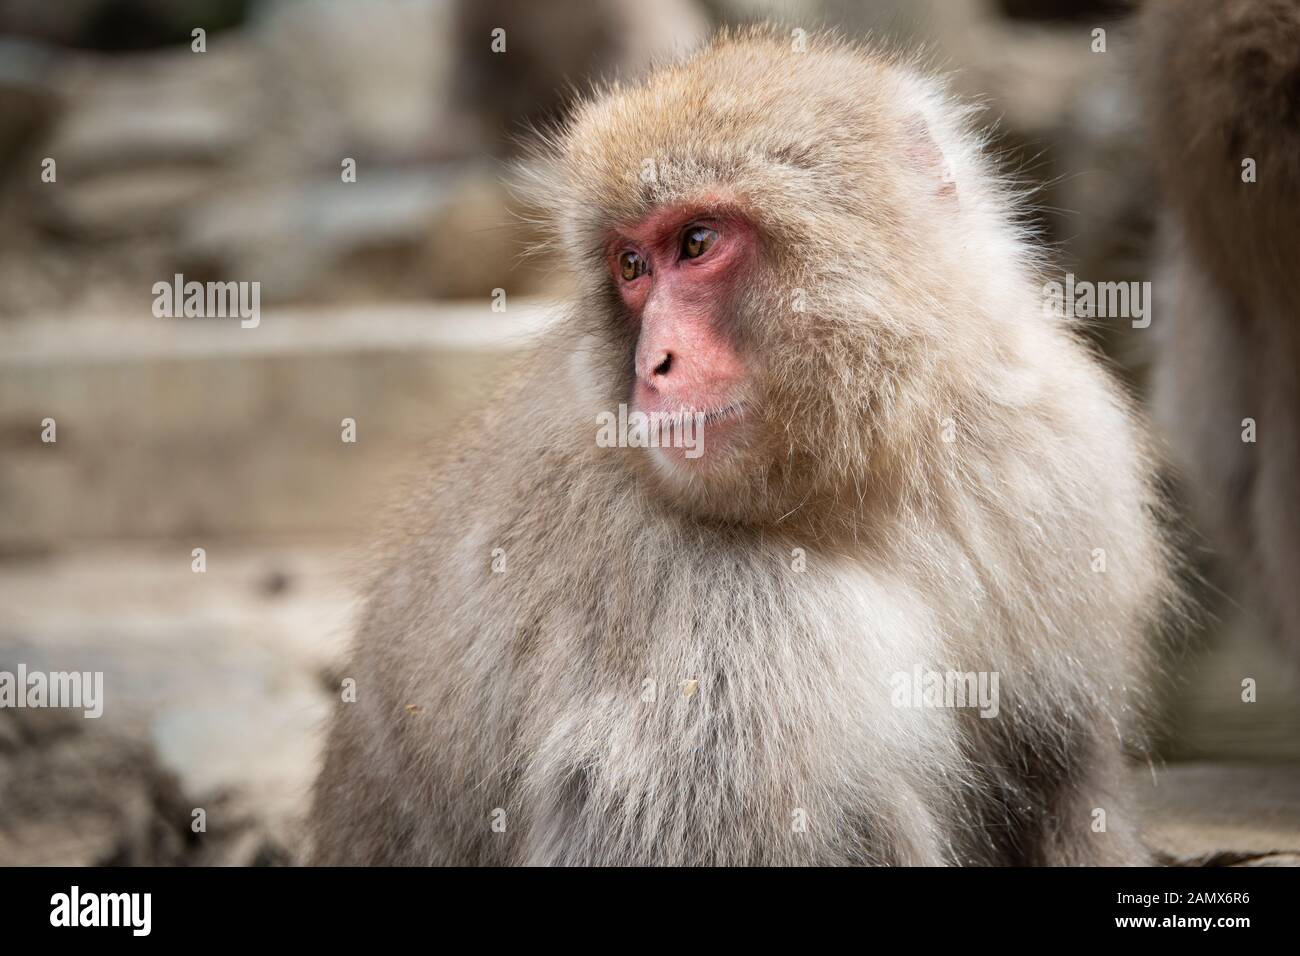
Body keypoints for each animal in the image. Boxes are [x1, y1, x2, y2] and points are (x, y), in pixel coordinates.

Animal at [309, 27, 1177, 866]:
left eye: (696, 243)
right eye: (631, 265)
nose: (652, 364)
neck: (860, 485)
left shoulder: (1053, 457)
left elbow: (1065, 775)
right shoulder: (716, 618)